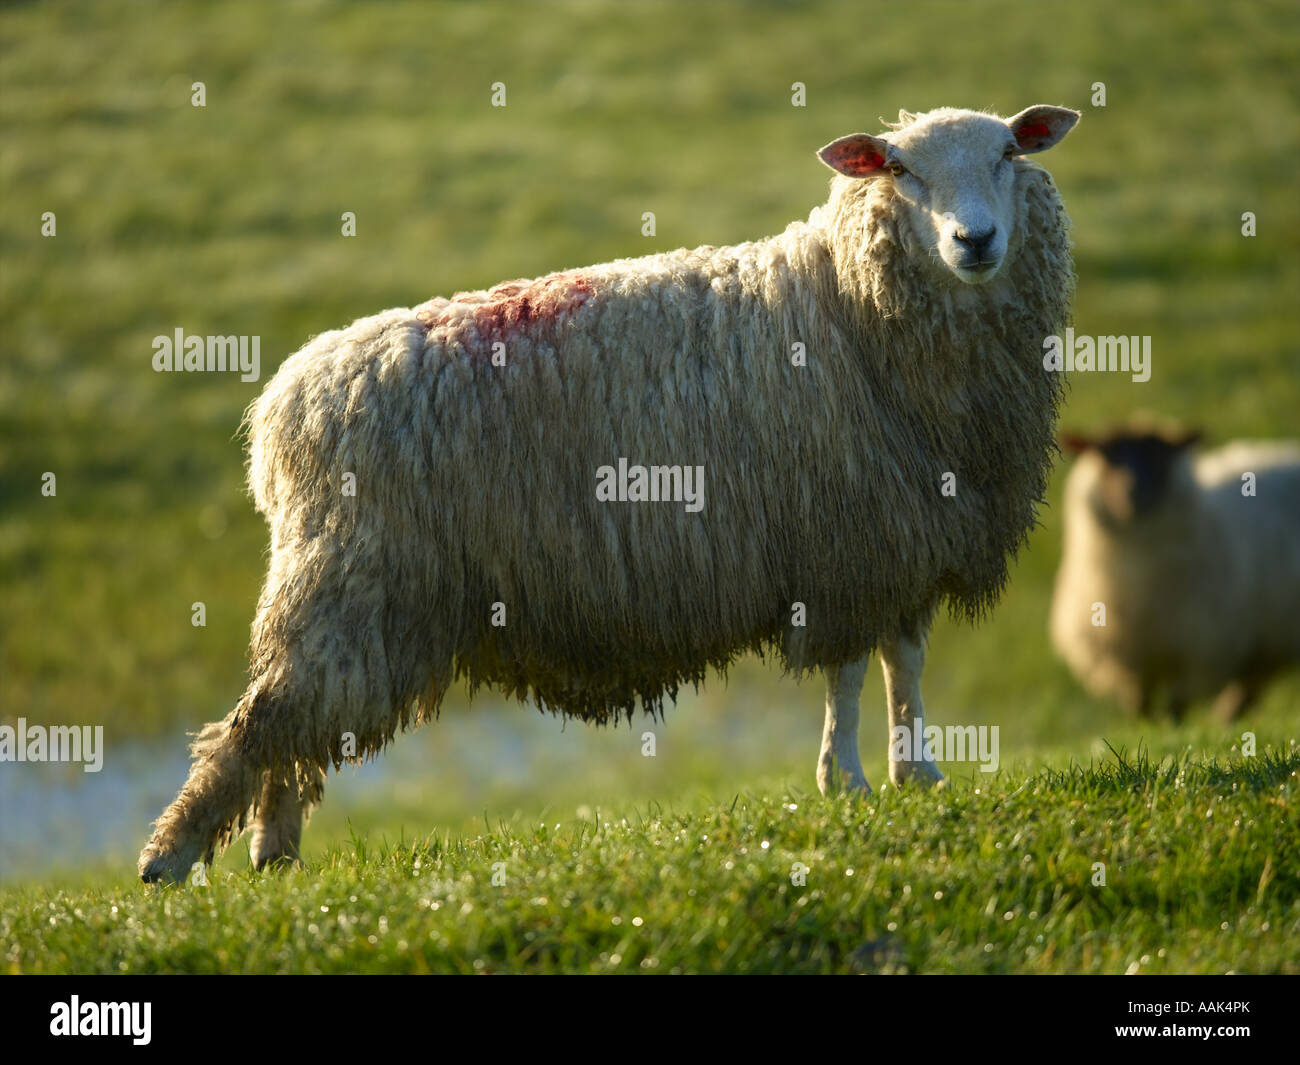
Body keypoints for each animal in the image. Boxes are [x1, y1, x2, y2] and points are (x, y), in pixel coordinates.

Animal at [139, 104, 1079, 883]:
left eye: (1007, 153)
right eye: (900, 169)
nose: (974, 240)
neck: (849, 305)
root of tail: (288, 402)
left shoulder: (910, 531)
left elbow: (903, 662)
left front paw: (917, 773)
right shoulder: (843, 539)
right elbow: (847, 675)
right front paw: (844, 782)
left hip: (354, 593)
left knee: (296, 728)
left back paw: (273, 856)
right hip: (355, 582)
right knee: (262, 722)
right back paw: (171, 859)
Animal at [1050, 420, 1300, 721]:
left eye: (1159, 457)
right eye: (1105, 456)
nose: (1133, 494)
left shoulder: (1198, 653)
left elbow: (1175, 707)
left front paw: (1171, 727)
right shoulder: (1132, 661)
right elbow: (1140, 706)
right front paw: (1141, 728)